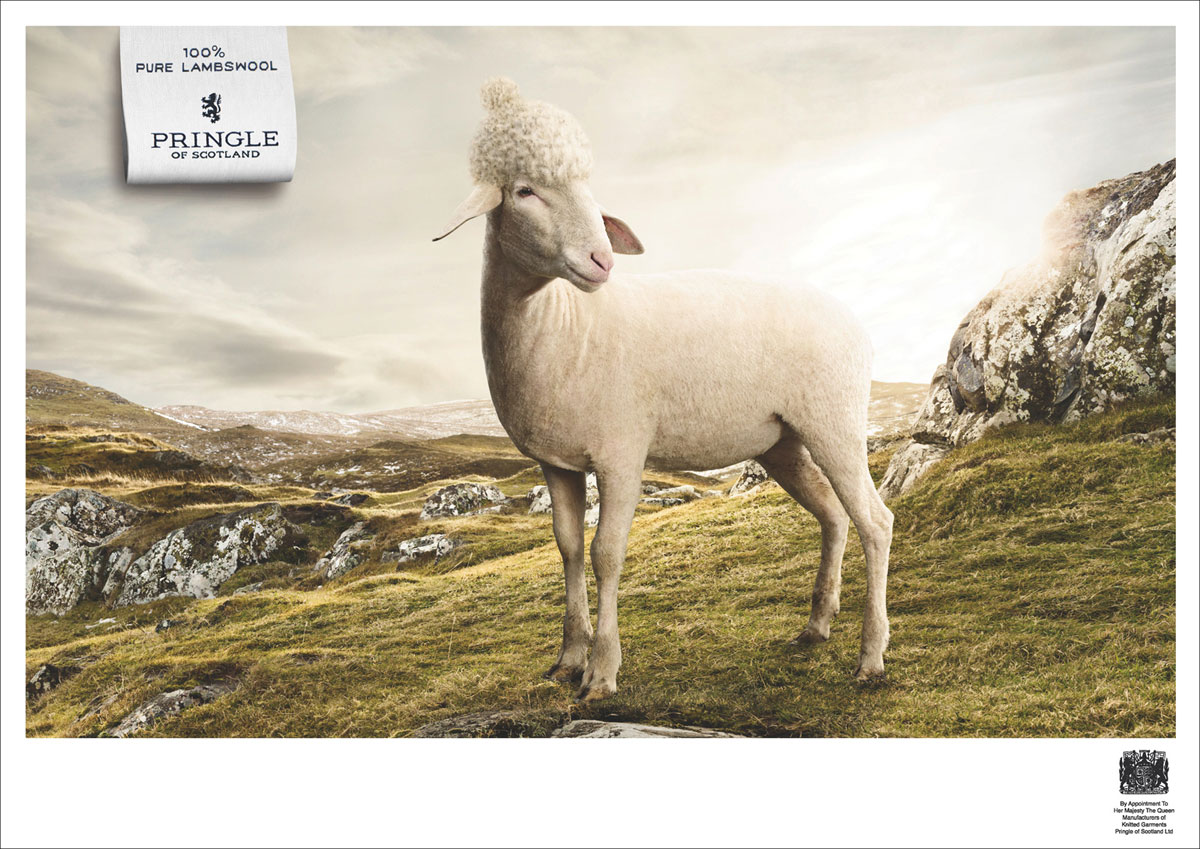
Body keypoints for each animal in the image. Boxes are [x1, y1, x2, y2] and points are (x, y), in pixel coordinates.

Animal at [434, 78, 893, 701]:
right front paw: (567, 659)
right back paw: (816, 626)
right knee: (833, 517)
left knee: (875, 522)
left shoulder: (623, 452)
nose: (602, 259)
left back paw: (871, 657)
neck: (562, 325)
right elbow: (568, 548)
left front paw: (601, 672)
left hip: (835, 420)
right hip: (783, 440)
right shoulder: (557, 462)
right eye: (525, 191)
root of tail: (853, 318)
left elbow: (606, 553)